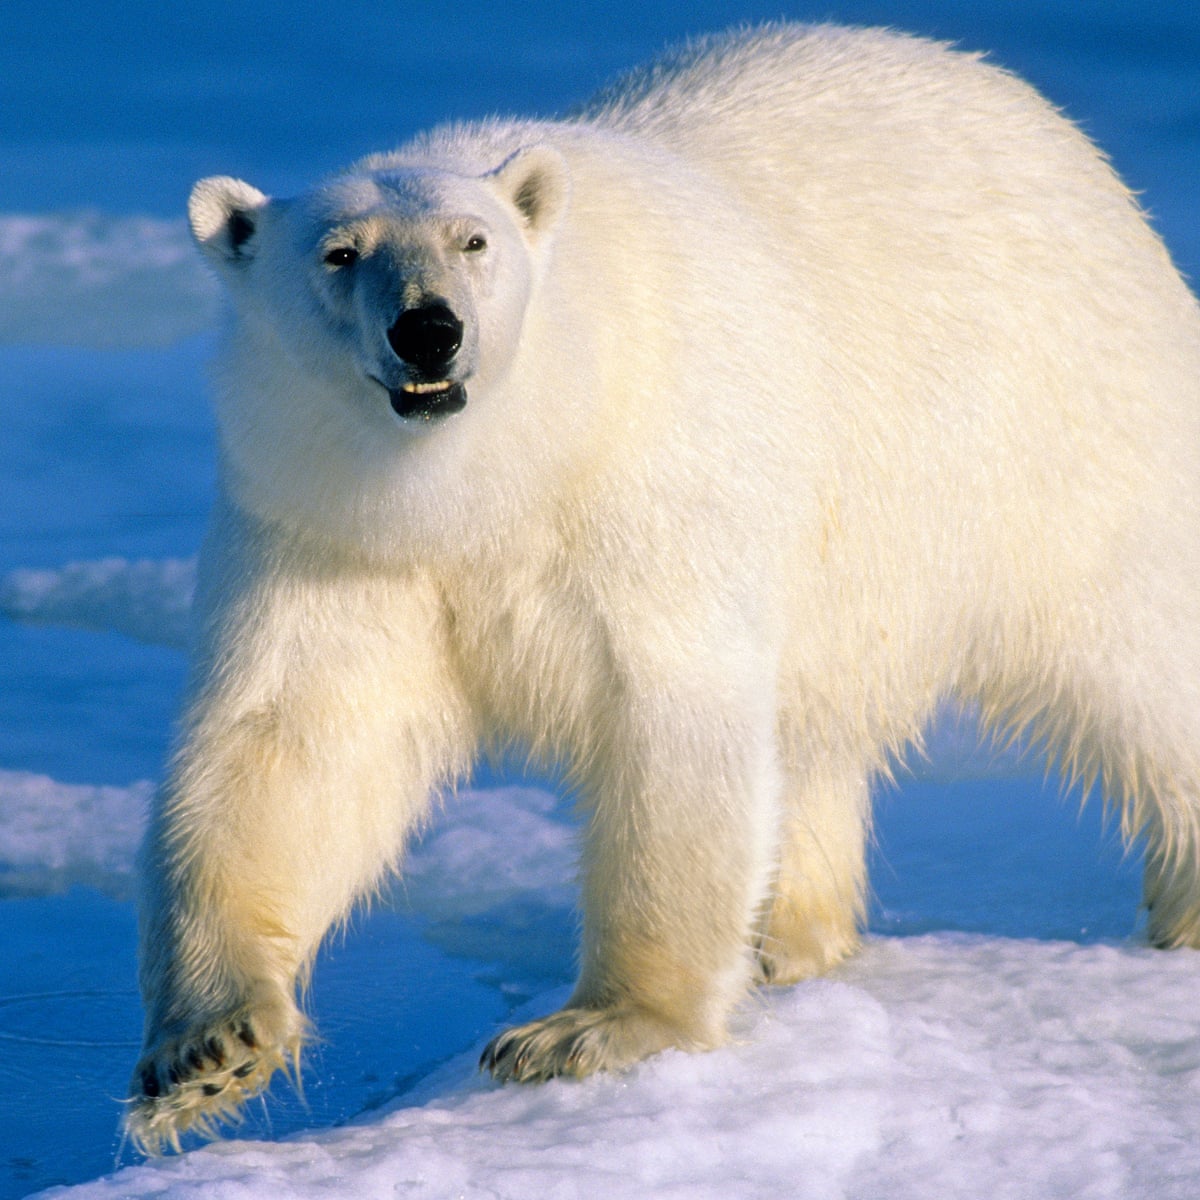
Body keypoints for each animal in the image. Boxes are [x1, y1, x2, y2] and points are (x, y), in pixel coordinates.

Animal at [127, 22, 1200, 1153]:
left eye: (473, 243)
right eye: (340, 253)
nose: (429, 330)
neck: (497, 472)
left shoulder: (644, 497)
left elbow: (669, 727)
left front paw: (590, 1030)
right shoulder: (327, 529)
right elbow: (289, 743)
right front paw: (208, 1050)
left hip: (1060, 440)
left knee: (1137, 653)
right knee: (816, 734)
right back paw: (786, 939)